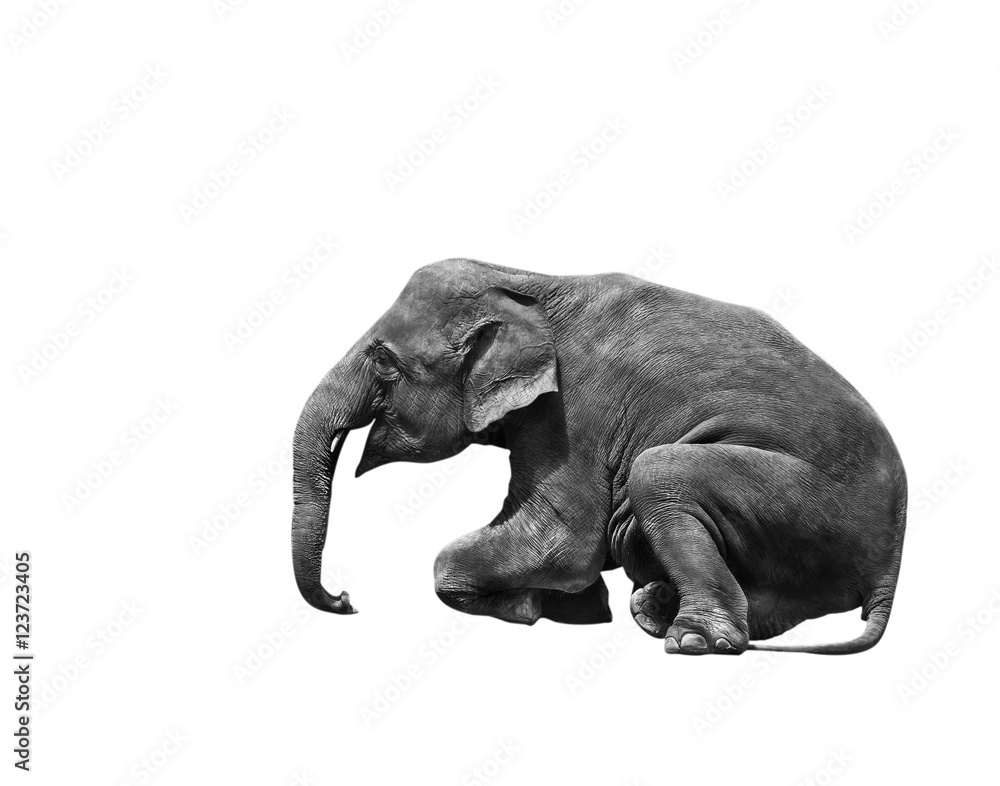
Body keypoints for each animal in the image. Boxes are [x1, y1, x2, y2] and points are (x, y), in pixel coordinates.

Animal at [291, 258, 907, 655]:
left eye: (384, 362)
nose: (347, 599)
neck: (528, 281)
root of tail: (891, 563)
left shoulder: (574, 413)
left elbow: (561, 540)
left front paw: (536, 608)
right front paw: (575, 610)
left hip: (807, 504)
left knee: (658, 471)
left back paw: (690, 639)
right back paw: (656, 608)